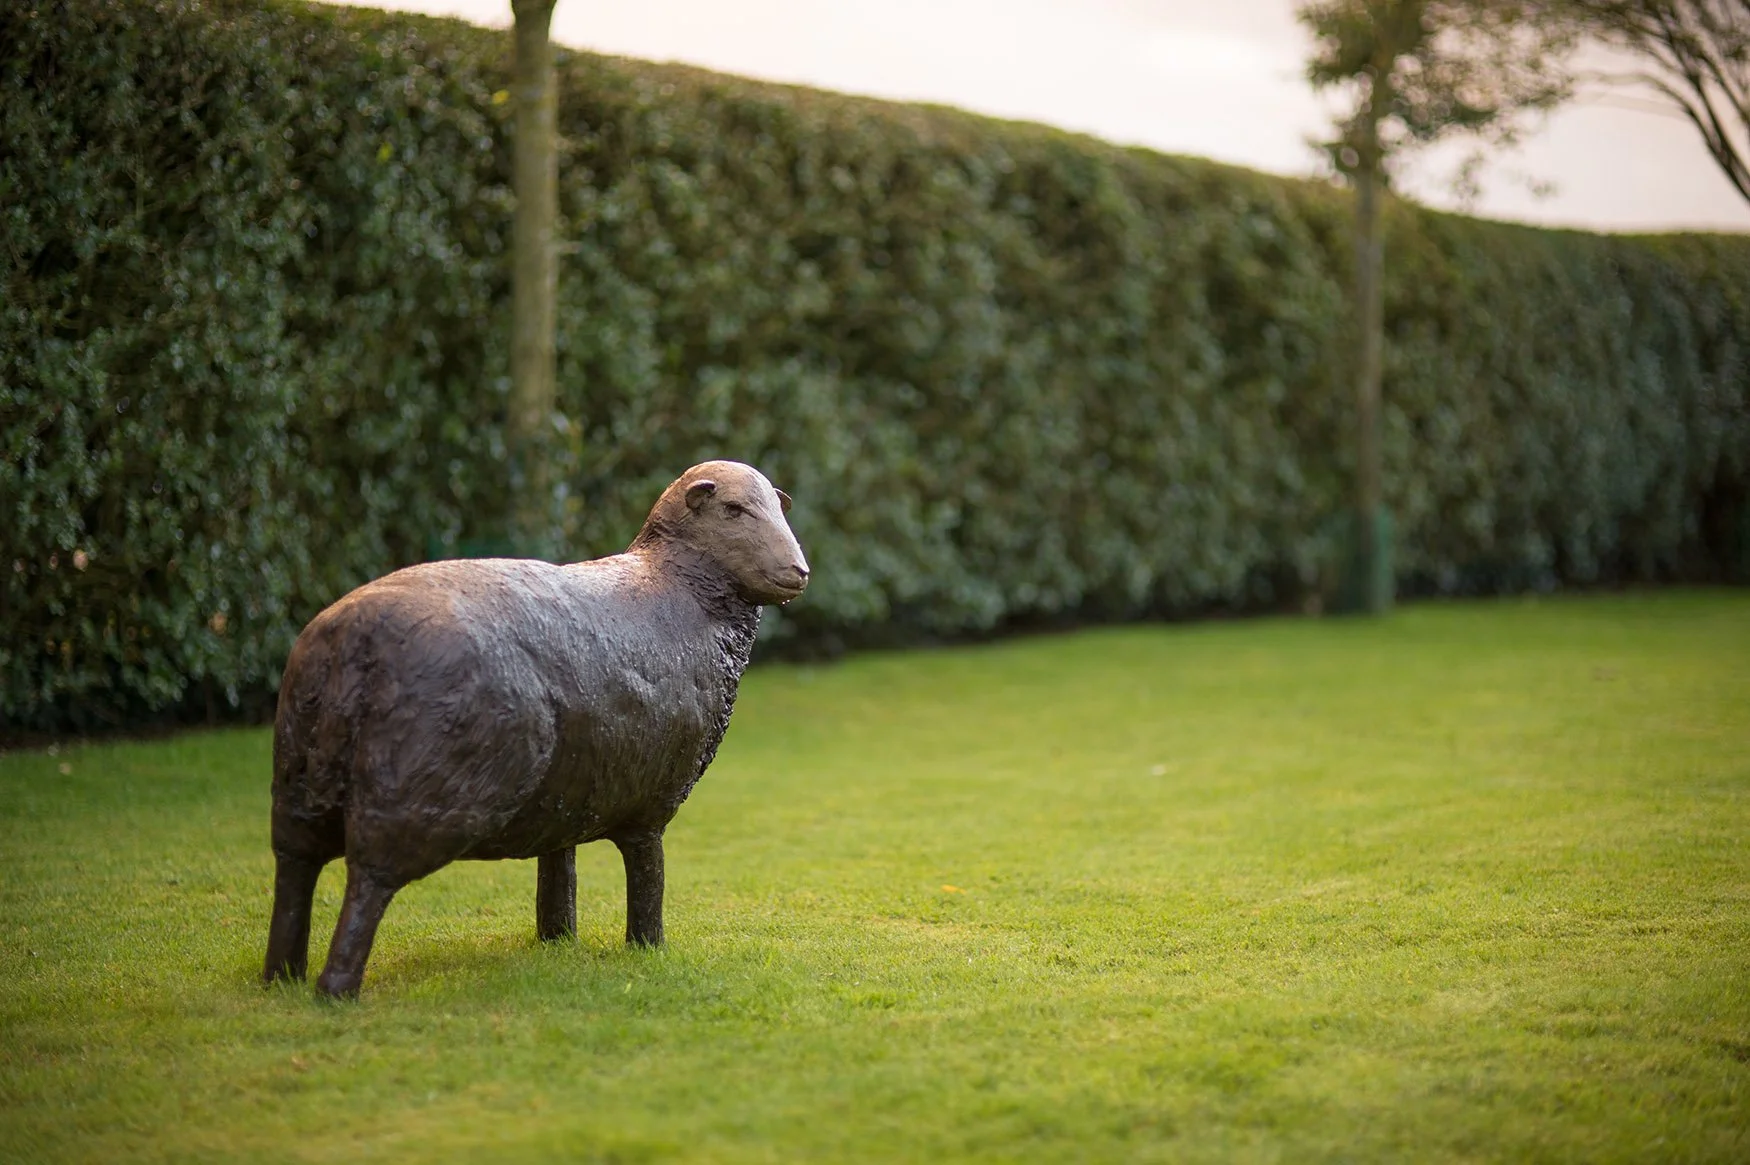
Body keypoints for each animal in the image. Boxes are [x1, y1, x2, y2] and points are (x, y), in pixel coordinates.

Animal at [262, 460, 810, 998]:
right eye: (734, 510)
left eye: (777, 508)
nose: (799, 572)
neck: (681, 588)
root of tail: (352, 644)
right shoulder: (649, 801)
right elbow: (647, 876)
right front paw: (647, 946)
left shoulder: (569, 792)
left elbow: (558, 870)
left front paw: (557, 937)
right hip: (416, 791)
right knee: (368, 881)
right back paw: (335, 989)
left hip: (300, 779)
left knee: (294, 868)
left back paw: (280, 976)